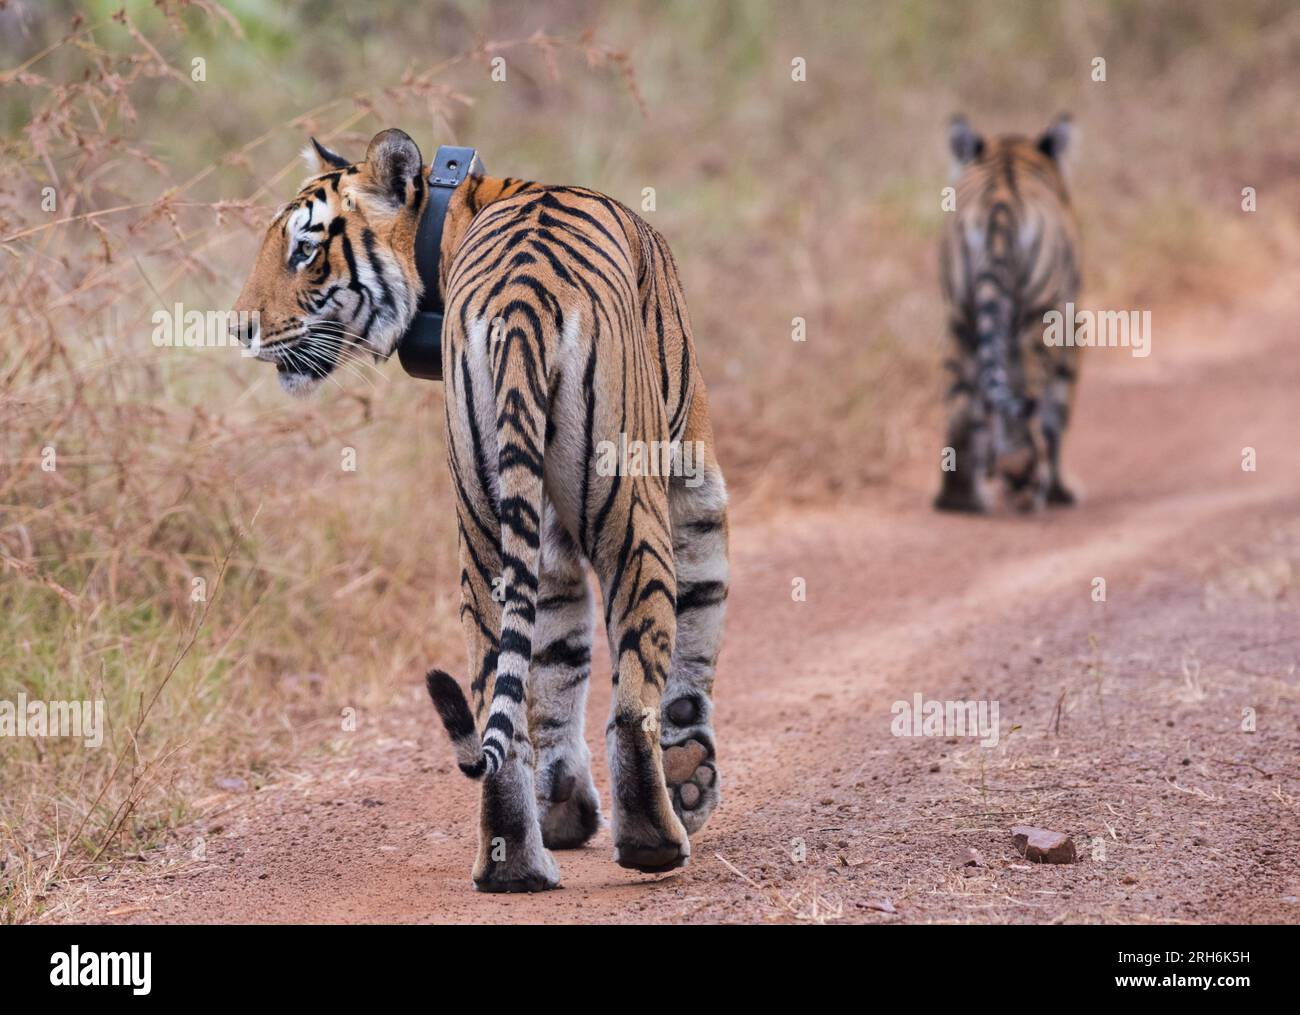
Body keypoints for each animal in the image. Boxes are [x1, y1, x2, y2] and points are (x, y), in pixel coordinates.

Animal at [231, 129, 728, 892]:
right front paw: (691, 780)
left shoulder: (542, 530)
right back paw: (655, 839)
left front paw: (566, 808)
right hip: (631, 509)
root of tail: (521, 307)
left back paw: (513, 863)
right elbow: (697, 626)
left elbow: (551, 661)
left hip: (482, 522)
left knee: (505, 705)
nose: (238, 329)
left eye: (305, 251)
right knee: (631, 693)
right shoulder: (690, 473)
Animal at [935, 114, 1082, 513]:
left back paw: (958, 498)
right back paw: (1026, 479)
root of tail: (999, 201)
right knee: (1032, 397)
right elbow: (1058, 408)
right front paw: (1060, 492)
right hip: (1039, 320)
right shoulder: (1071, 327)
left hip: (960, 318)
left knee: (962, 403)